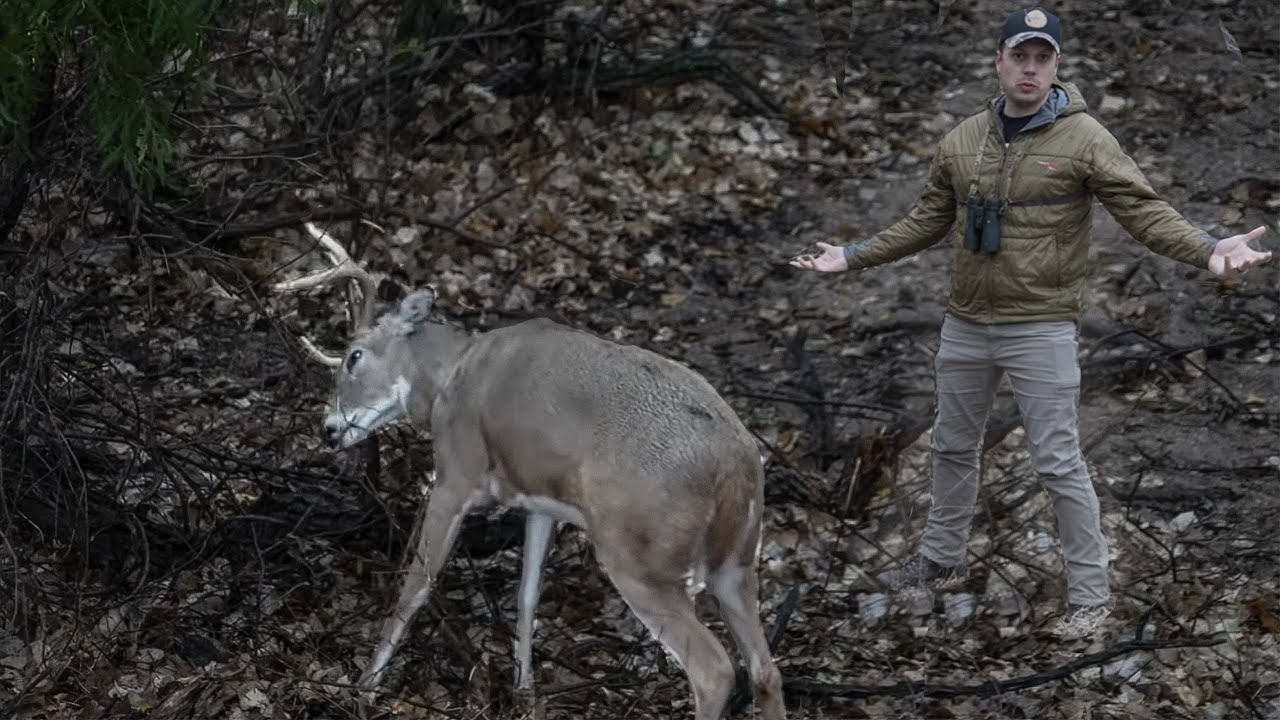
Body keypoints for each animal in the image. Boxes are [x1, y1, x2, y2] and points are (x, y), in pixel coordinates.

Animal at [273, 222, 787, 720]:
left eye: (354, 356)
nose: (328, 429)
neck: (449, 377)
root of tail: (735, 468)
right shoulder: (540, 501)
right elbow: (527, 593)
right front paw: (525, 693)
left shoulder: (455, 472)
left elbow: (416, 585)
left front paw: (364, 688)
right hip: (739, 560)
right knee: (765, 670)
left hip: (641, 555)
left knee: (715, 670)